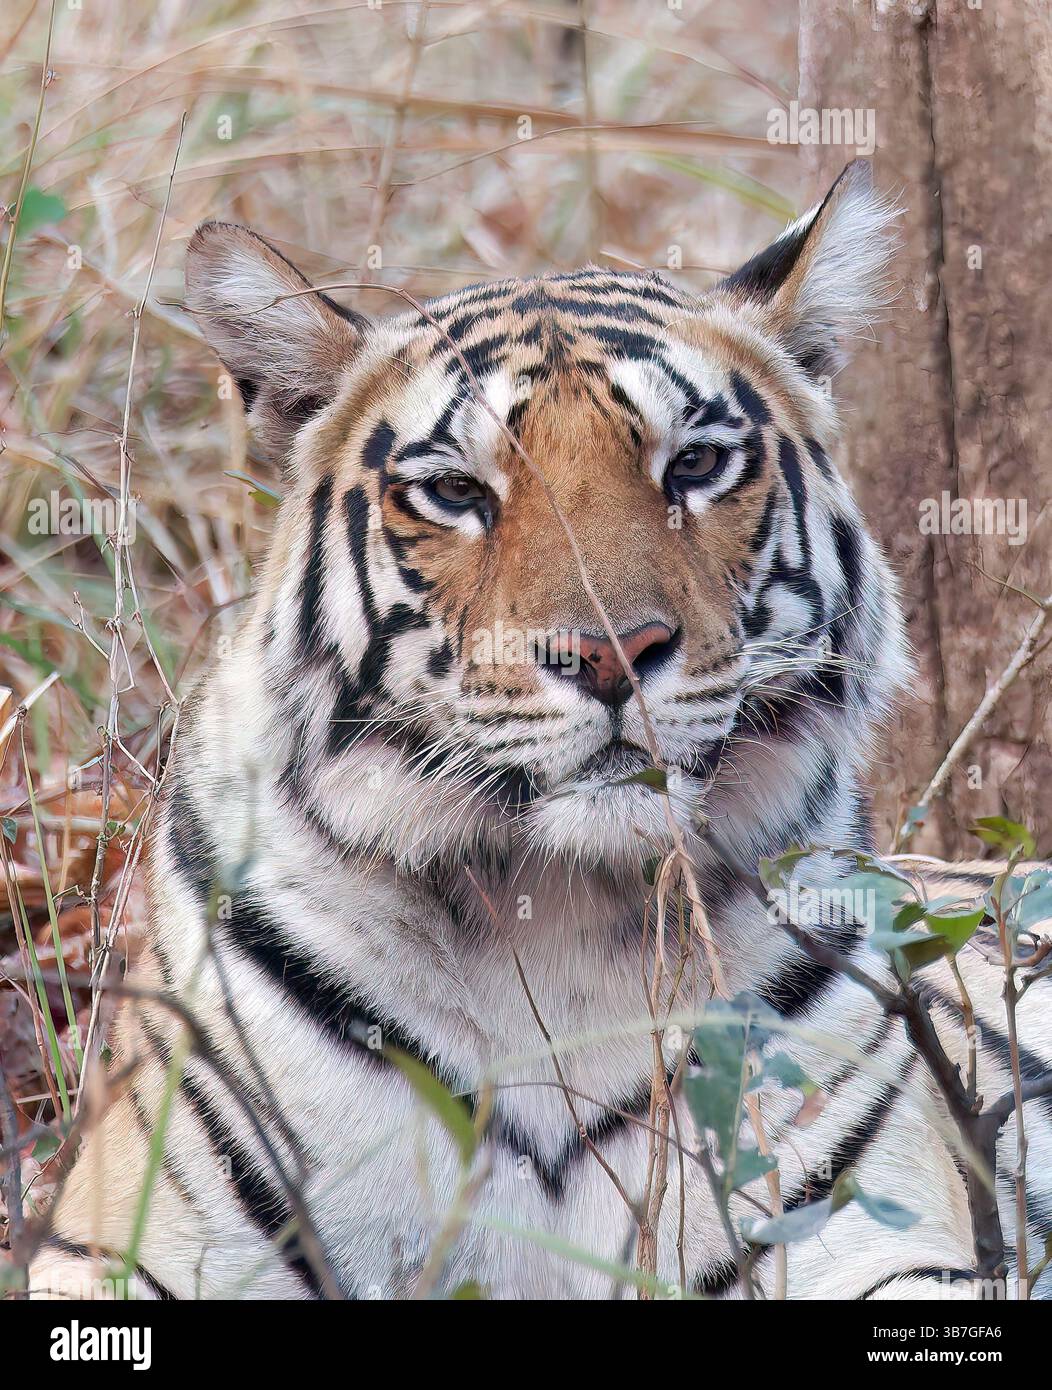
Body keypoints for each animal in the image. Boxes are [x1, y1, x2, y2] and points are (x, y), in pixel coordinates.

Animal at [26, 160, 1052, 1301]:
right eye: (454, 490)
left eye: (695, 465)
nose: (609, 652)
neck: (554, 908)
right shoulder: (126, 1239)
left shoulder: (869, 1230)